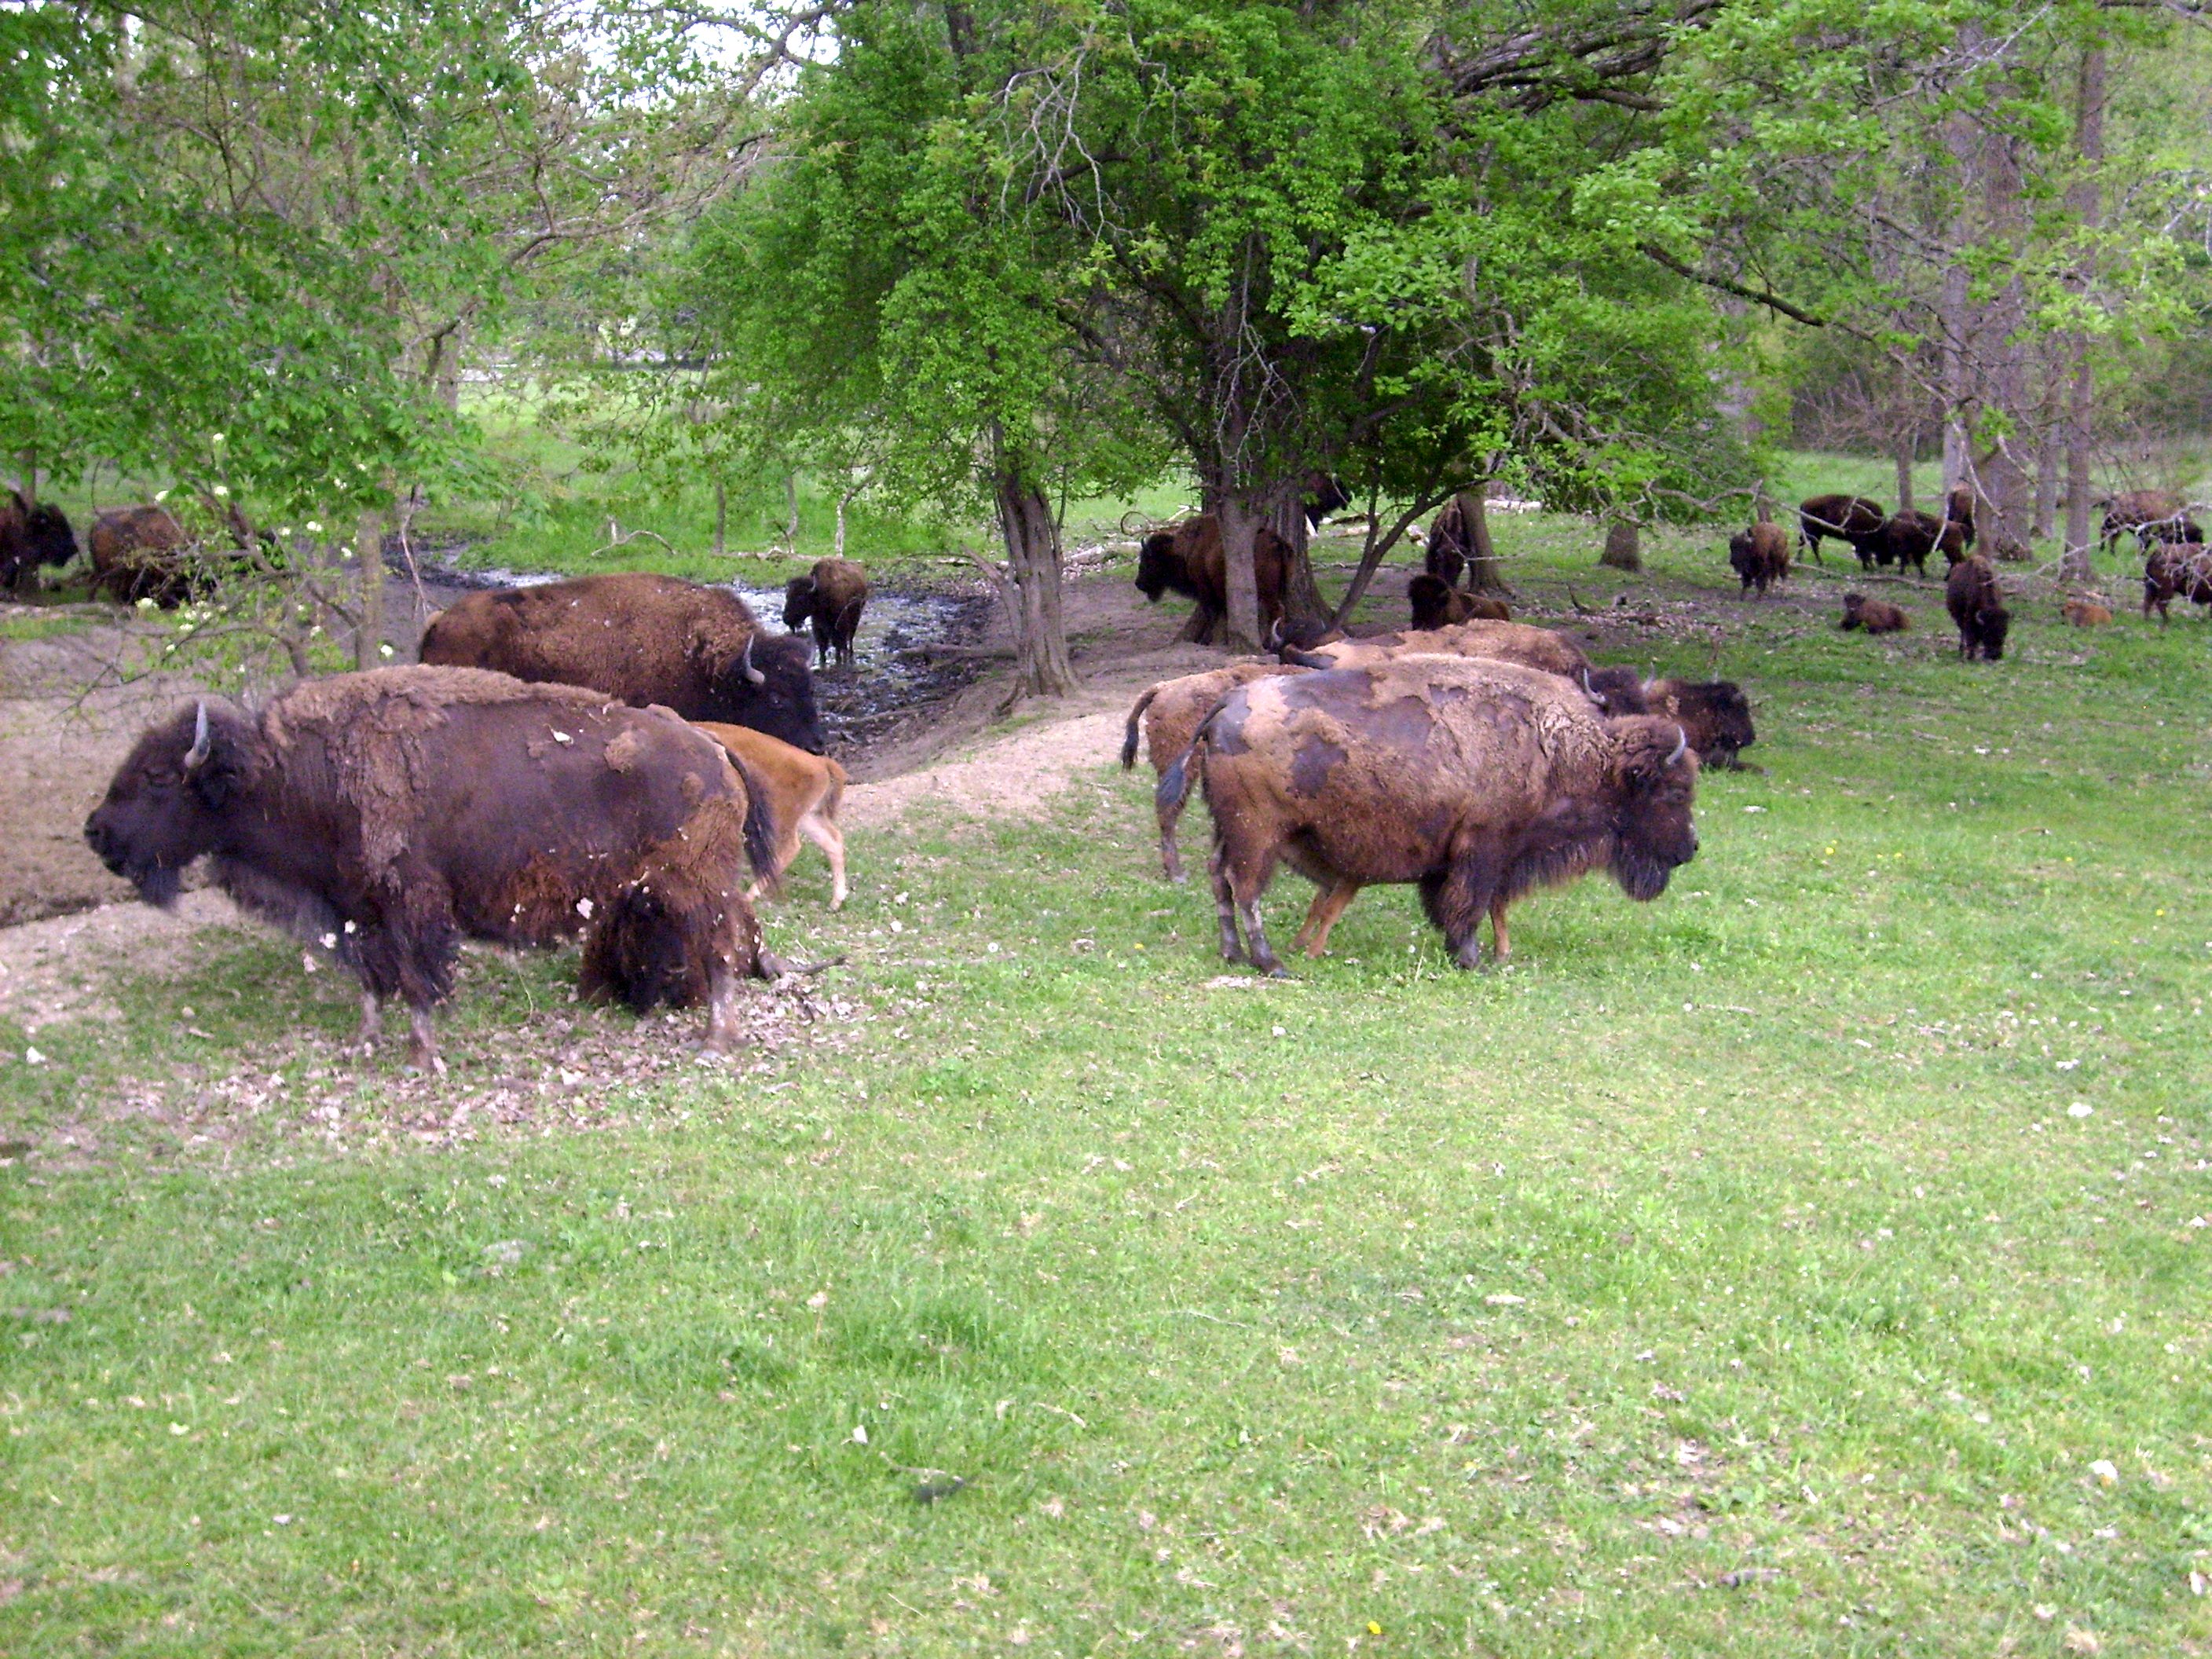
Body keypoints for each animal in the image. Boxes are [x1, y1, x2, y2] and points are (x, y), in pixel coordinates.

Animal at [83, 667, 786, 1069]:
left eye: (158, 777)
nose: (96, 833)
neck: (293, 776)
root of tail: (711, 746)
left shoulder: (410, 903)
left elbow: (418, 979)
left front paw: (421, 1056)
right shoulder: (353, 908)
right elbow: (372, 978)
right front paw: (364, 1043)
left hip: (690, 885)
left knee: (721, 949)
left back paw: (716, 1040)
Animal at [783, 557, 869, 670]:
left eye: (800, 598)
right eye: (787, 596)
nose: (785, 618)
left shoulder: (839, 627)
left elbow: (838, 647)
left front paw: (838, 661)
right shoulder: (818, 627)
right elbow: (822, 648)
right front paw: (822, 662)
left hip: (855, 618)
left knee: (850, 639)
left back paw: (850, 654)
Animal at [1135, 515, 1291, 645]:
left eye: (1147, 561)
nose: (1138, 584)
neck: (1186, 549)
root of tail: (1275, 541)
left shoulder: (1204, 588)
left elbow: (1210, 613)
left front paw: (1205, 640)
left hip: (1268, 592)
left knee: (1277, 611)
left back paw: (1270, 644)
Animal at [1170, 657, 1699, 974]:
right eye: (1674, 792)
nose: (1692, 847)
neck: (1559, 750)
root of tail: (1226, 705)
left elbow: (1461, 902)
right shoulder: (1484, 848)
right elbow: (1471, 903)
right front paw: (1471, 958)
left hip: (1228, 830)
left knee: (1219, 879)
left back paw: (1232, 953)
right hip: (1257, 833)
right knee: (1246, 888)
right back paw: (1270, 962)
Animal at [1945, 557, 2010, 660]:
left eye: (2005, 632)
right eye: (1987, 632)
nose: (1996, 656)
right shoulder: (1970, 617)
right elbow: (1971, 638)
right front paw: (1970, 656)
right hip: (1958, 616)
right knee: (1963, 632)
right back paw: (1962, 651)